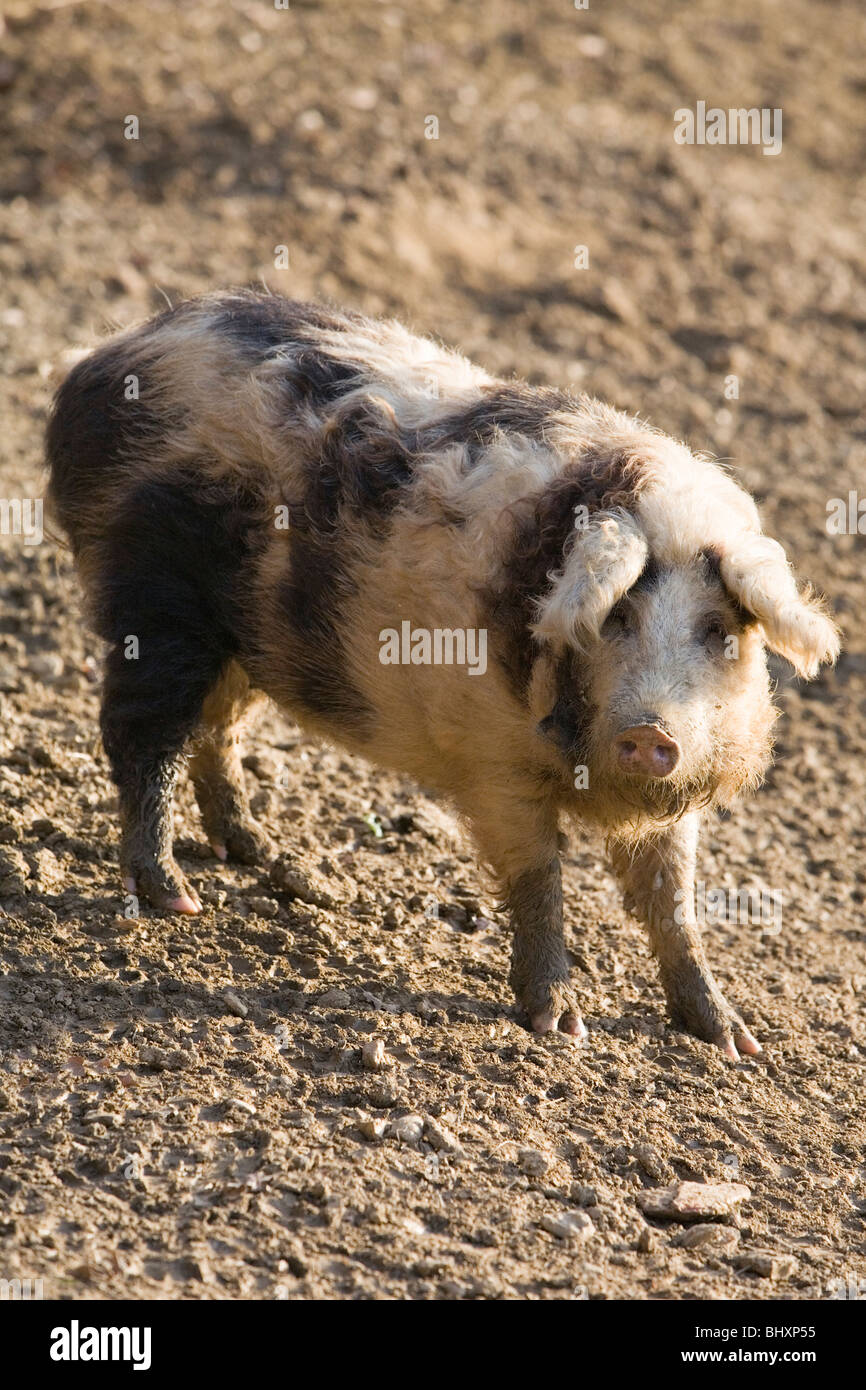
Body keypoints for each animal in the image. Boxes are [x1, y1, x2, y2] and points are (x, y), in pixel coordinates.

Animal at [45, 291, 840, 1057]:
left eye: (718, 632)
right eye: (617, 618)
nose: (651, 732)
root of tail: (104, 360)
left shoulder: (674, 800)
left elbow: (672, 904)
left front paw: (735, 1043)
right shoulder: (495, 763)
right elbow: (539, 879)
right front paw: (559, 1027)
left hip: (244, 637)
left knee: (216, 731)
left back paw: (262, 854)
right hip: (154, 602)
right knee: (143, 734)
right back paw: (173, 896)